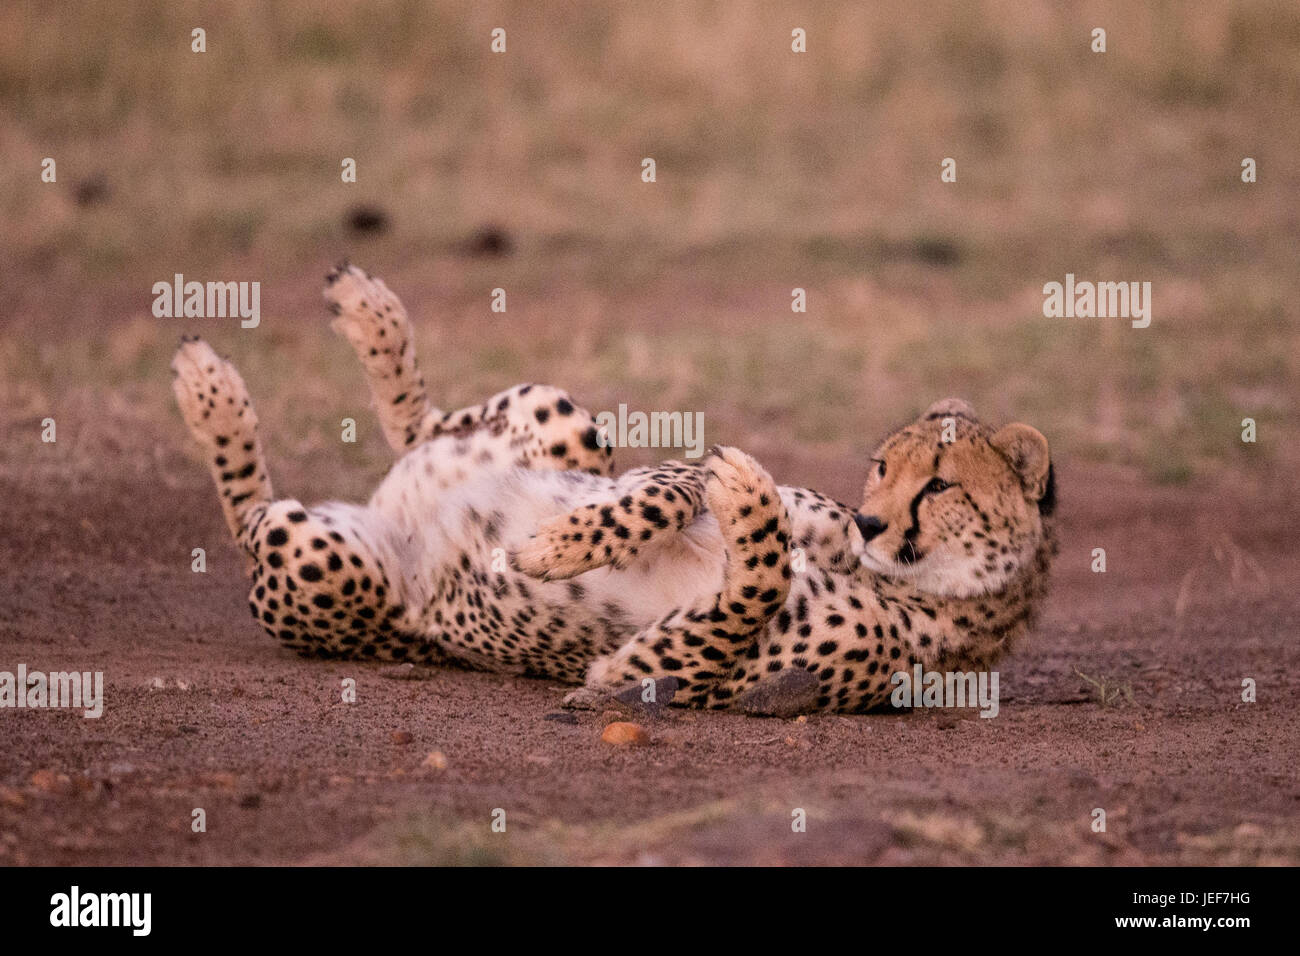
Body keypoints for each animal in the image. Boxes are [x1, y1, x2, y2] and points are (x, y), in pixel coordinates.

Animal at [171, 263, 1056, 715]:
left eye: (939, 486)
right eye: (882, 467)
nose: (871, 522)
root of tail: (394, 514)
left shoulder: (666, 674)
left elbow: (754, 580)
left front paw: (749, 502)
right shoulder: (654, 479)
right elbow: (667, 487)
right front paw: (562, 545)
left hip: (326, 568)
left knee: (250, 513)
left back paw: (210, 391)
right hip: (563, 424)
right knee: (418, 427)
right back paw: (355, 316)